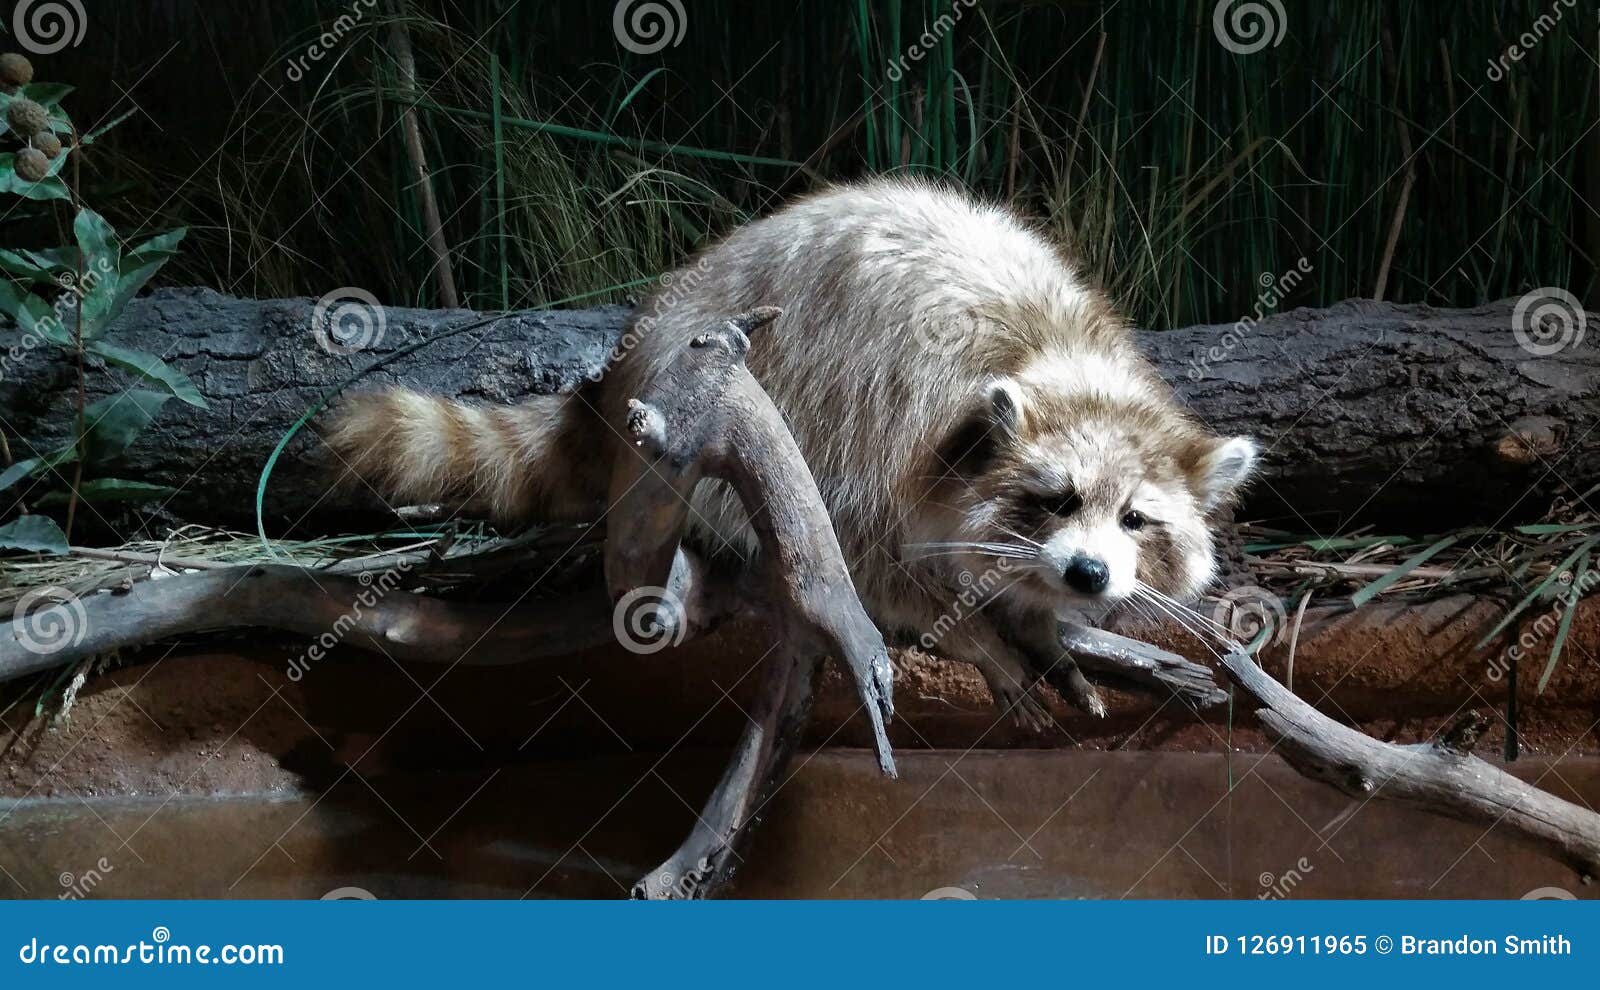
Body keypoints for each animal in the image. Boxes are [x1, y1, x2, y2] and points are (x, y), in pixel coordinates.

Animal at [329, 178, 1257, 727]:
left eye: (1137, 521)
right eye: (1056, 498)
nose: (1088, 576)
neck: (1059, 359)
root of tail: (628, 350)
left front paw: (1044, 626)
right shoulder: (893, 427)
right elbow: (871, 561)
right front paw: (978, 638)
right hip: (708, 392)